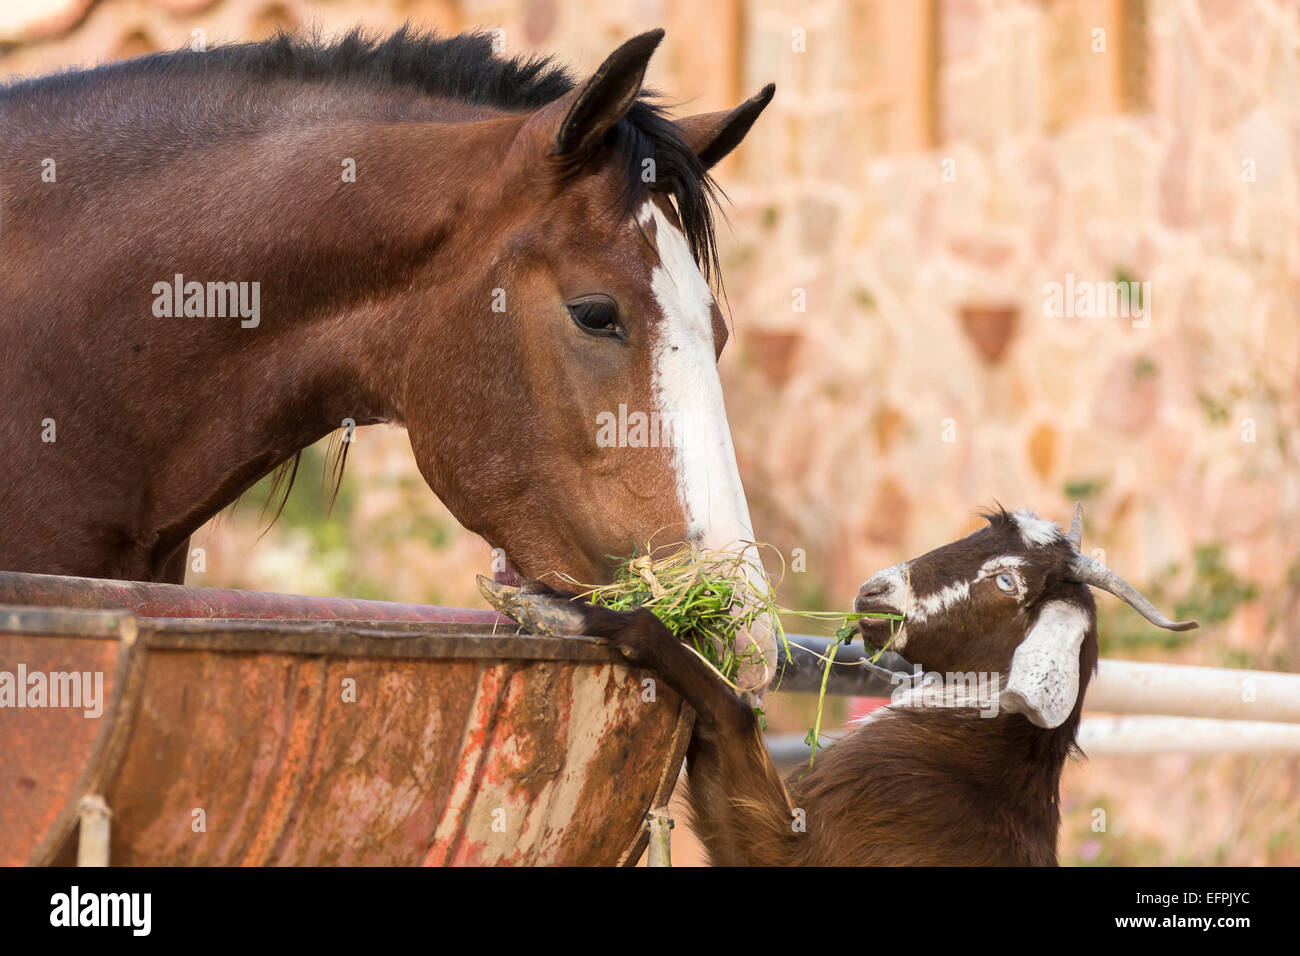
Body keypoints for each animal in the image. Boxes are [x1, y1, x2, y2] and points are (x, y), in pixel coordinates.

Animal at [481, 505, 1196, 866]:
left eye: (1005, 582)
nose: (876, 592)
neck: (977, 765)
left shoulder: (792, 850)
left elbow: (728, 709)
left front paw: (561, 609)